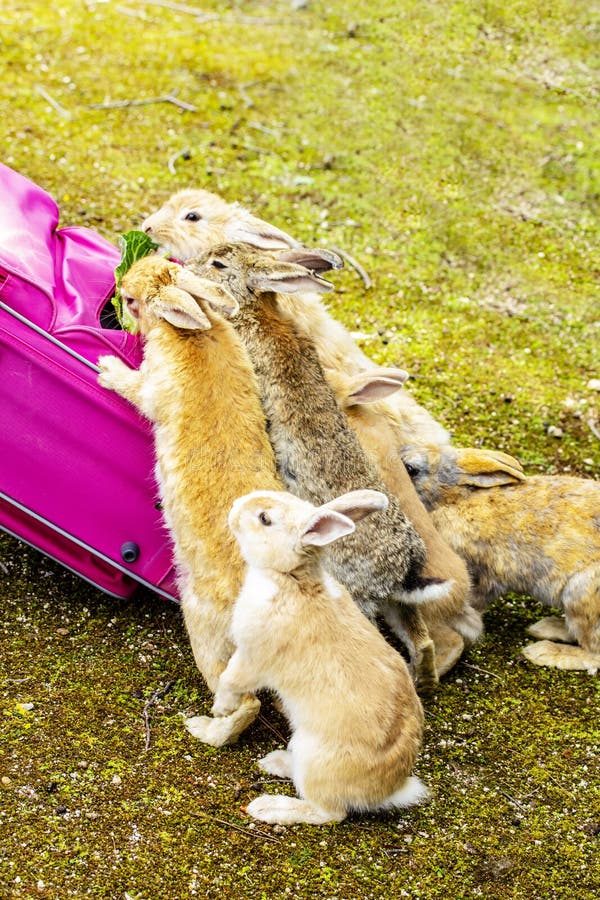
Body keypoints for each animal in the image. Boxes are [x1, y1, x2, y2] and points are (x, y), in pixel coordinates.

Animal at [96, 255, 285, 746]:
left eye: (131, 300)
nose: (119, 288)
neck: (191, 332)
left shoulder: (151, 388)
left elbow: (134, 388)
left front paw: (107, 368)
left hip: (205, 634)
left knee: (244, 703)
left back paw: (203, 729)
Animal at [186, 242, 456, 690]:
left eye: (219, 264)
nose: (184, 265)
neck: (256, 309)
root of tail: (403, 570)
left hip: (352, 590)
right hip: (397, 605)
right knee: (422, 643)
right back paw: (425, 682)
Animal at [205, 487, 429, 825]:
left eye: (264, 519)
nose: (234, 507)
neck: (289, 578)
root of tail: (388, 790)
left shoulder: (253, 658)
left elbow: (231, 679)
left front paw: (220, 708)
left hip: (315, 760)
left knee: (329, 813)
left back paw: (268, 807)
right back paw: (276, 762)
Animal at [400, 443, 600, 675]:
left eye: (411, 469)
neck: (457, 499)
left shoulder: (484, 576)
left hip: (581, 592)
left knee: (593, 653)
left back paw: (543, 651)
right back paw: (546, 627)